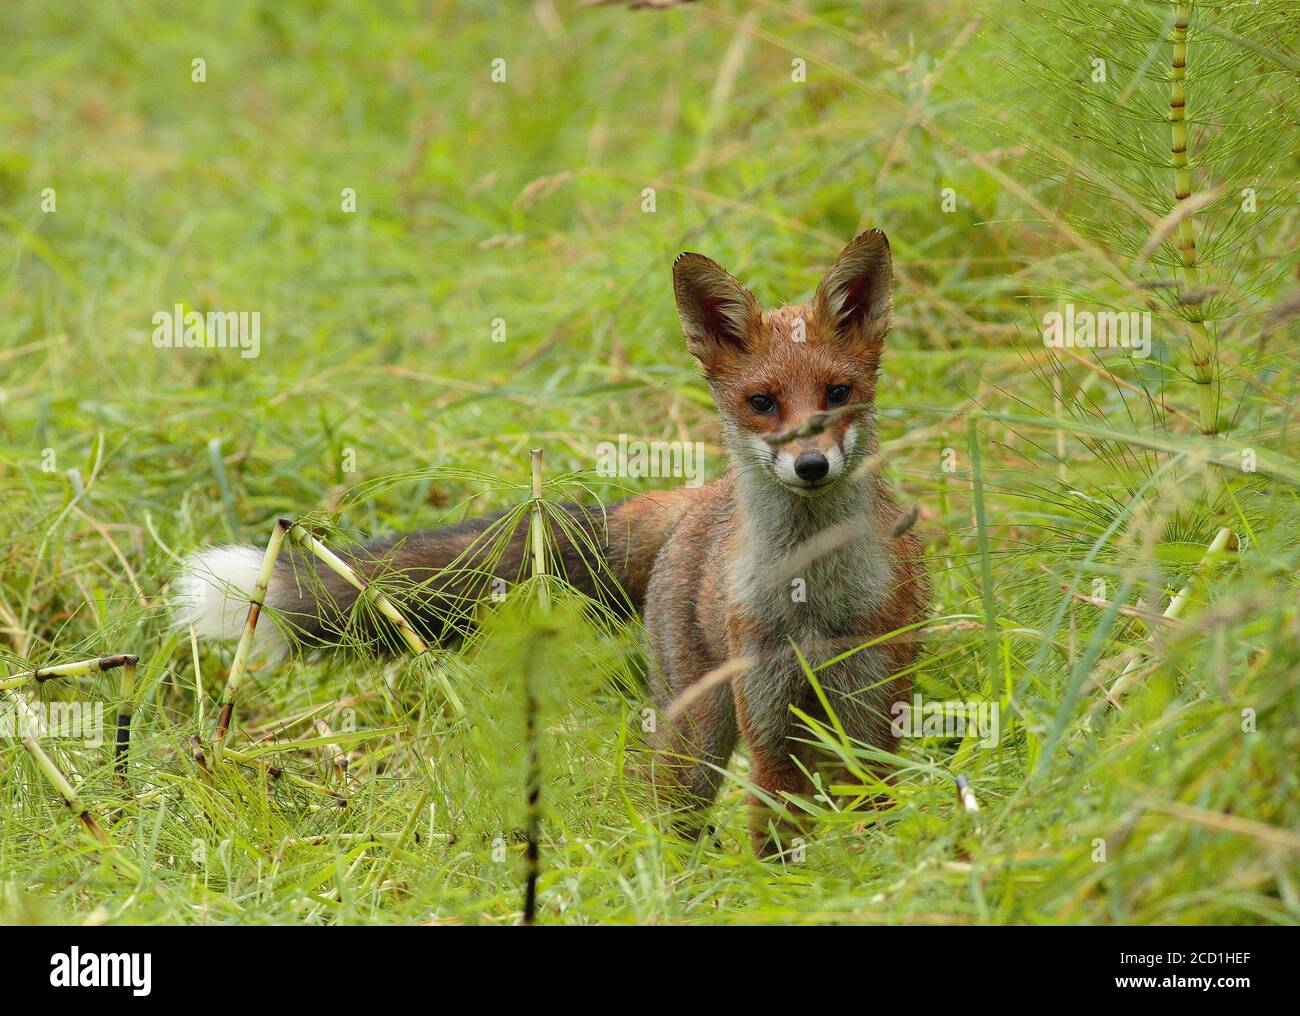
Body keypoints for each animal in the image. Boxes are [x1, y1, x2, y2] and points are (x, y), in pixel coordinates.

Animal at [175, 228, 928, 857]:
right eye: (763, 403)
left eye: (838, 393)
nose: (811, 466)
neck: (812, 594)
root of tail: (697, 499)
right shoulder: (769, 722)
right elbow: (775, 830)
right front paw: (780, 885)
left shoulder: (873, 708)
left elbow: (872, 809)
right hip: (696, 729)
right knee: (672, 809)